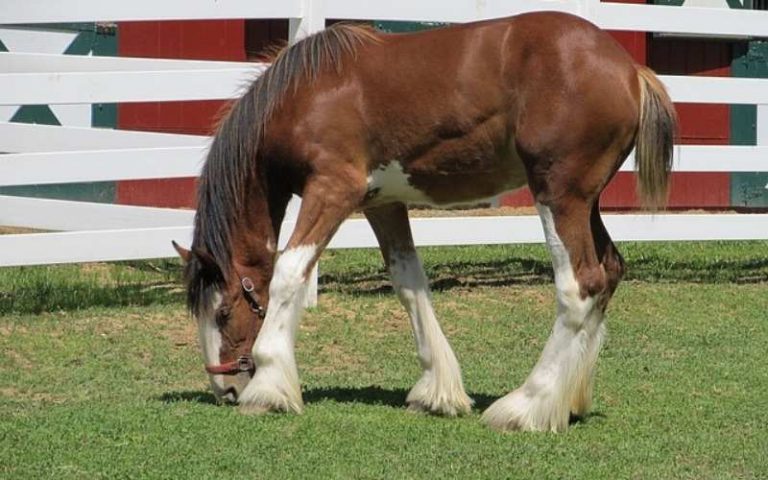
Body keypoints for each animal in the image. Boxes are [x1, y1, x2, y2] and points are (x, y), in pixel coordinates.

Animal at [172, 11, 676, 432]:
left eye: (221, 312)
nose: (225, 389)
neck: (307, 94)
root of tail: (631, 70)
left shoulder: (333, 190)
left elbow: (289, 273)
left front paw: (268, 388)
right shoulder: (383, 203)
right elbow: (409, 285)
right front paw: (438, 392)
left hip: (559, 195)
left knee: (580, 286)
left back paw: (526, 407)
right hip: (586, 202)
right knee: (609, 273)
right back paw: (566, 403)